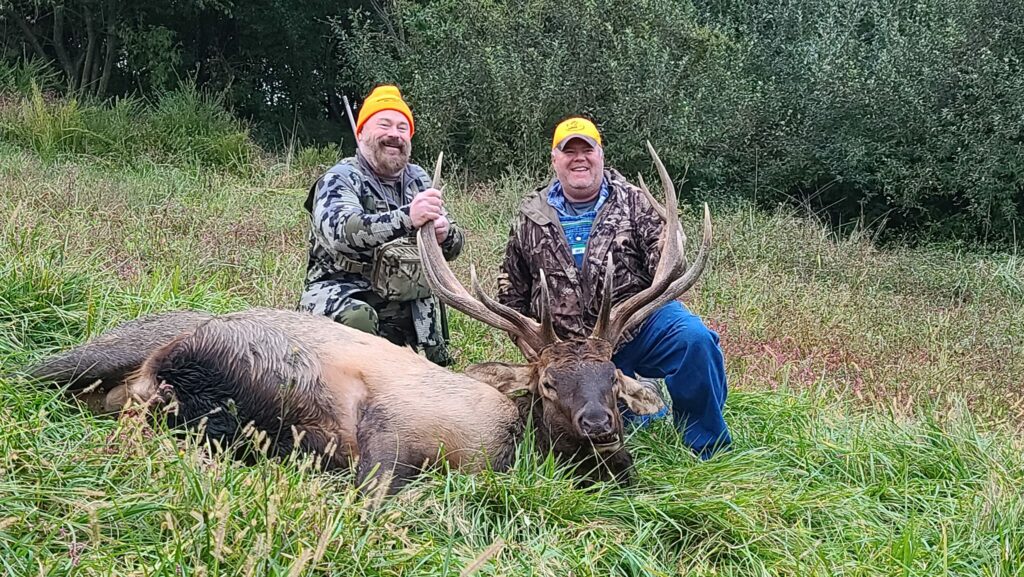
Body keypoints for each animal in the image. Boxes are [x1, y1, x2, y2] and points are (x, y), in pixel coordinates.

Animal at [23, 143, 710, 495]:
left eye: (613, 380)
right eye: (546, 382)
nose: (600, 425)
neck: (515, 441)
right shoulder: (393, 421)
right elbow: (375, 491)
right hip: (117, 356)